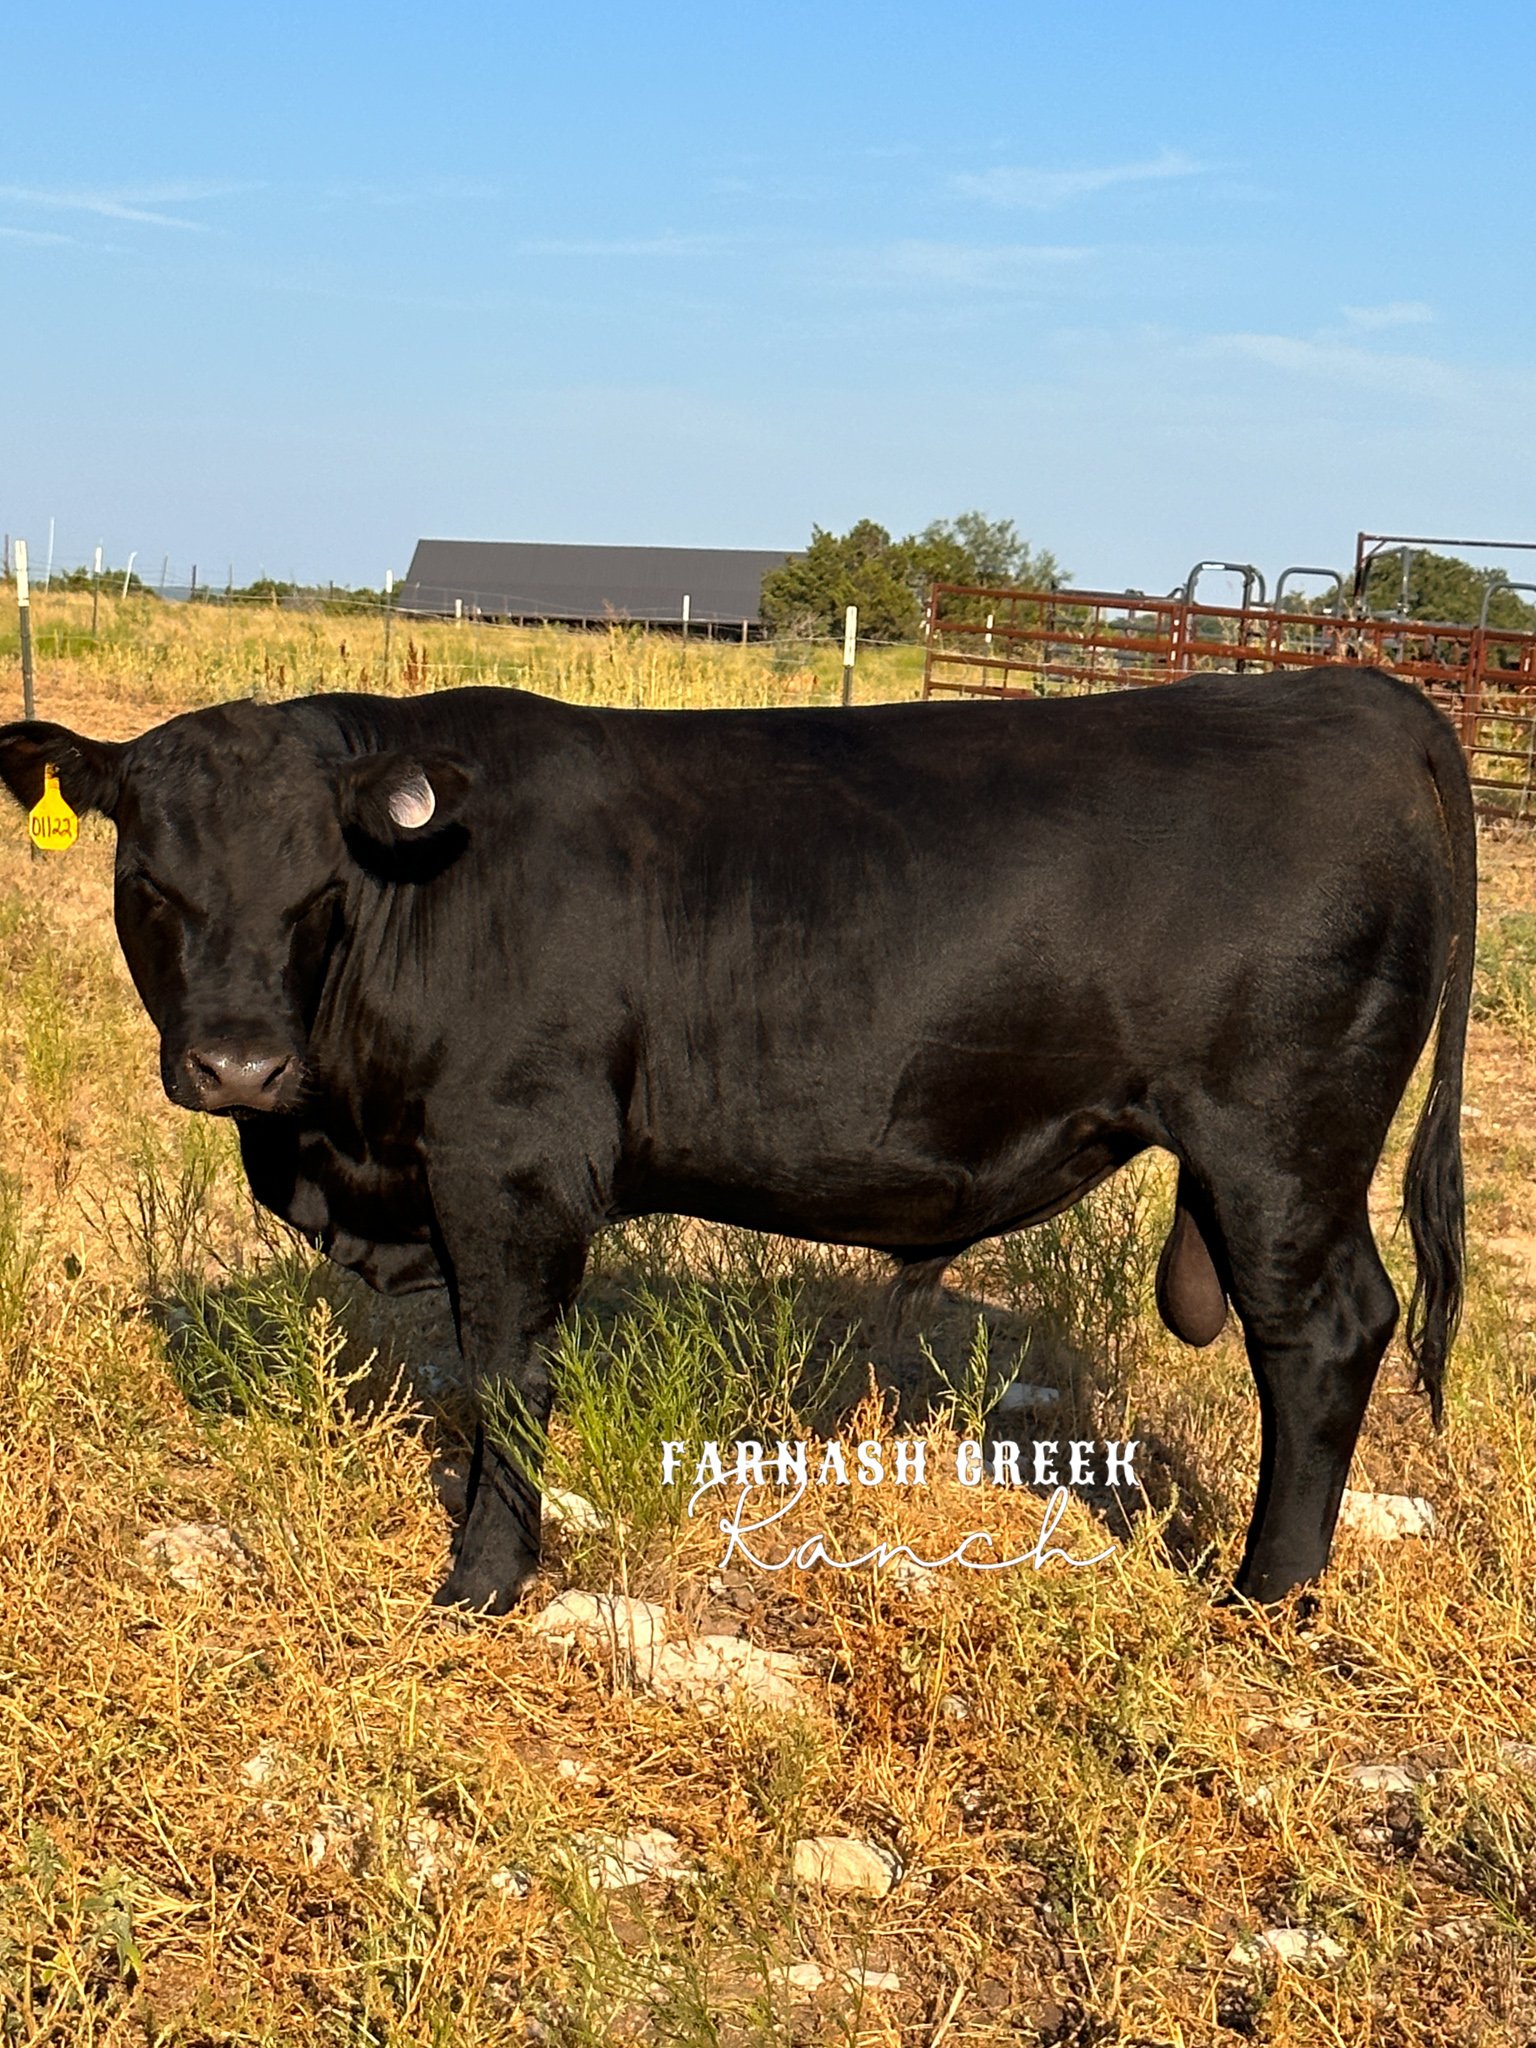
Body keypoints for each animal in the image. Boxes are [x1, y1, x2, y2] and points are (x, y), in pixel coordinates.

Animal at [0, 665, 1473, 1614]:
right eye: (148, 882)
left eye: (316, 890)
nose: (239, 1062)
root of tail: (1358, 690)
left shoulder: (509, 1162)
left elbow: (507, 1379)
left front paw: (483, 1582)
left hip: (1278, 1143)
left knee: (1325, 1333)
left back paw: (1268, 1597)